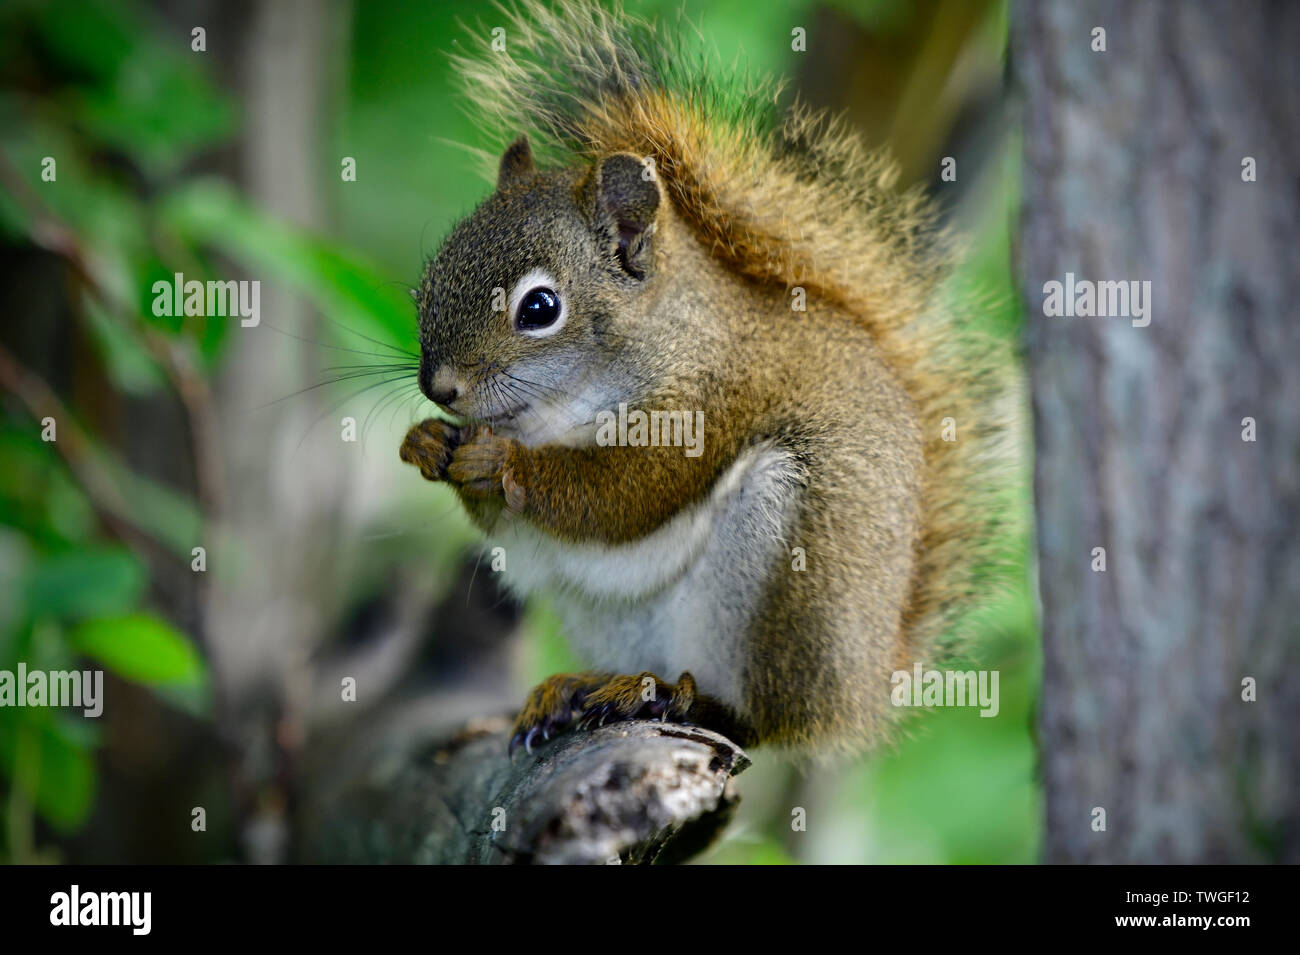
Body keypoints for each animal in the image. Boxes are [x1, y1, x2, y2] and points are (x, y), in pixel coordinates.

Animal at [399, 0, 1013, 757]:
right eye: (430, 278)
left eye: (539, 308)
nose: (440, 388)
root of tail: (865, 688)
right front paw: (428, 442)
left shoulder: (712, 397)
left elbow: (622, 494)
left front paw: (500, 460)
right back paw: (581, 686)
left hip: (791, 576)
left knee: (763, 720)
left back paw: (683, 695)